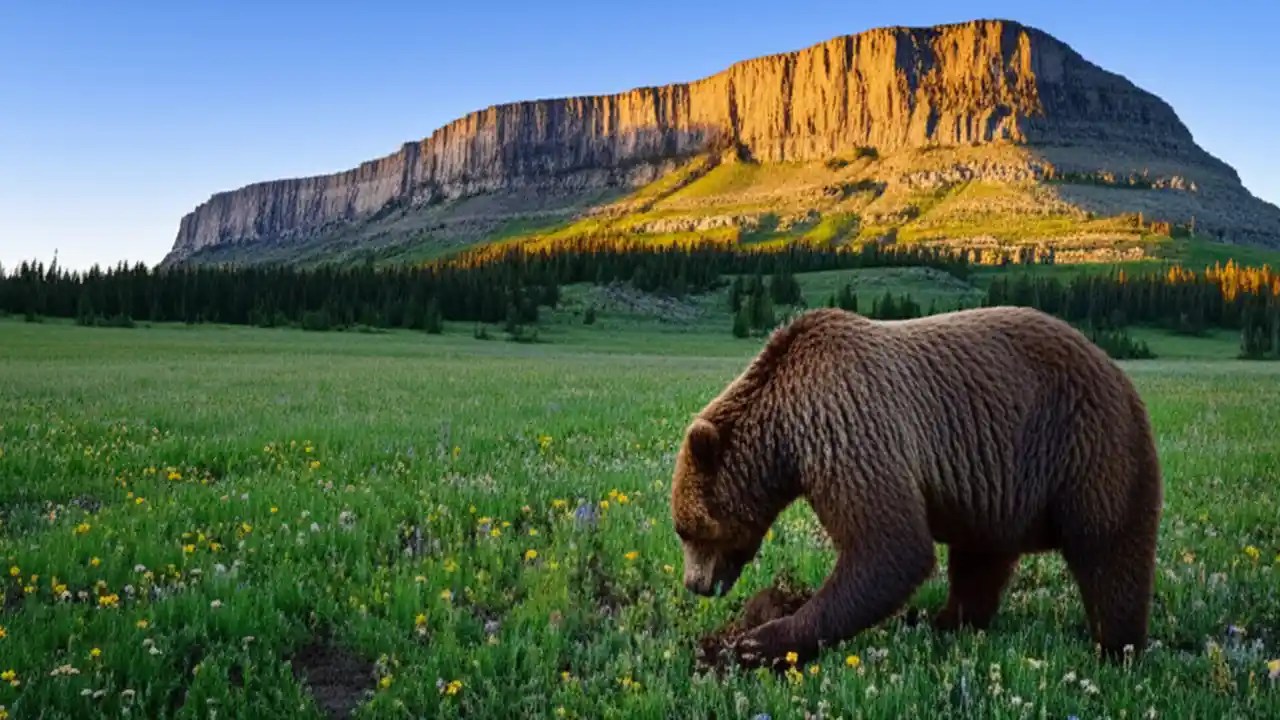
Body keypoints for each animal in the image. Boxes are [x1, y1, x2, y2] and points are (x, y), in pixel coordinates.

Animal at [671, 306, 1162, 668]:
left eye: (687, 530)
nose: (696, 584)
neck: (785, 431)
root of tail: (1116, 370)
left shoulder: (847, 426)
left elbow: (889, 547)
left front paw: (758, 642)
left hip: (1085, 448)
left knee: (1110, 552)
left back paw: (1117, 648)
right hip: (998, 488)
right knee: (979, 560)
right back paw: (945, 620)